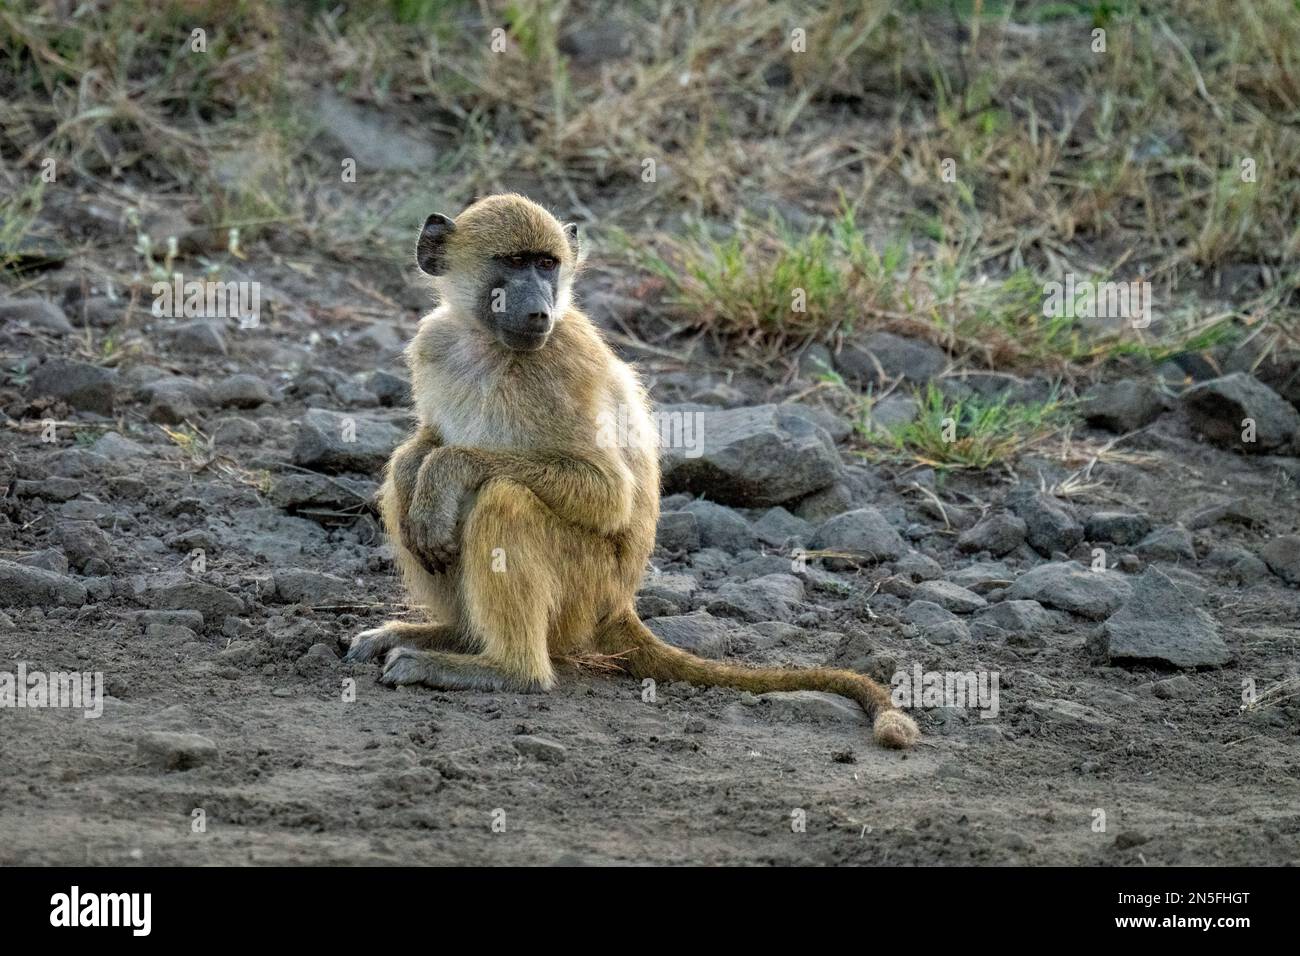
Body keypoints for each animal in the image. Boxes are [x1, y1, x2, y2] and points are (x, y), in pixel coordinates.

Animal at [345, 193, 919, 749]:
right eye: (512, 263)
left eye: (547, 264)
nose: (538, 312)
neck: (485, 342)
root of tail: (619, 605)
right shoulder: (436, 342)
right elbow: (423, 447)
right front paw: (425, 469)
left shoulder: (560, 364)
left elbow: (606, 491)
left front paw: (446, 470)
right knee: (404, 480)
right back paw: (451, 635)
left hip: (586, 589)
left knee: (505, 497)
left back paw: (505, 669)